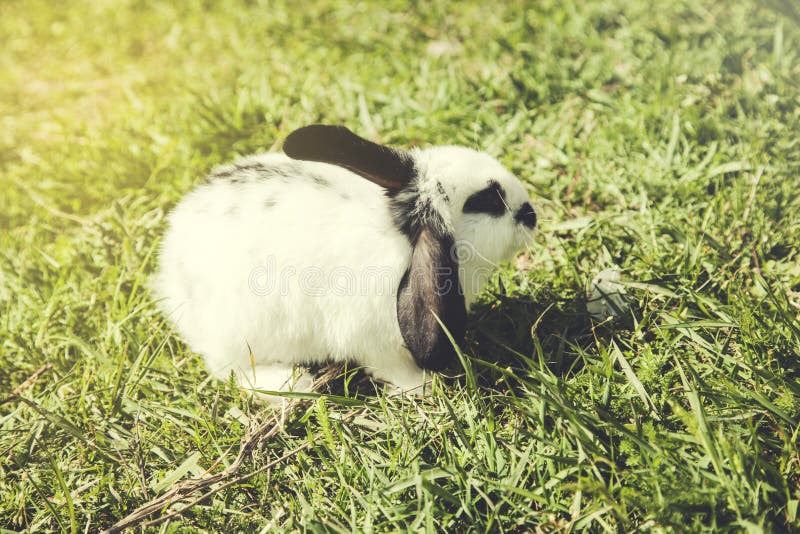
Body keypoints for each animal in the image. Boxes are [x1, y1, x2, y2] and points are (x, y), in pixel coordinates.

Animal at [153, 125, 537, 399]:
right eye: (486, 201)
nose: (531, 215)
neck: (403, 238)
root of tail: (172, 270)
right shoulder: (377, 342)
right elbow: (396, 371)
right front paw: (424, 389)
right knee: (231, 370)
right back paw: (293, 385)